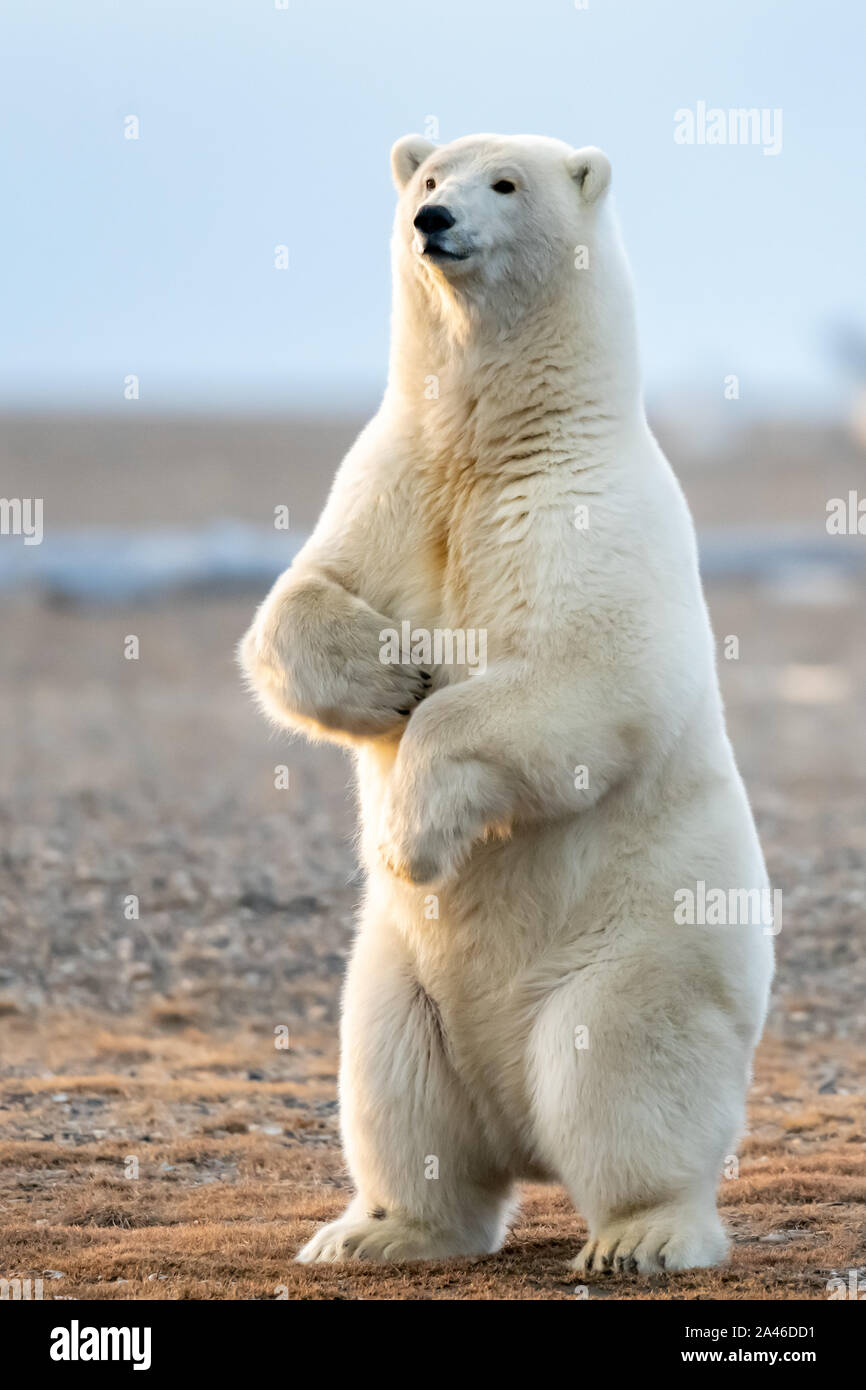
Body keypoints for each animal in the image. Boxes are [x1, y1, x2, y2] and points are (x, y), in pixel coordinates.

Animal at [239, 133, 775, 1273]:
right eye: (429, 175)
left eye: (506, 183)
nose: (431, 221)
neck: (491, 441)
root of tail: (516, 1125)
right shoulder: (391, 480)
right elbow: (295, 605)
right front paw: (395, 672)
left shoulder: (585, 511)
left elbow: (592, 672)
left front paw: (410, 835)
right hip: (395, 982)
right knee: (399, 1097)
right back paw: (374, 1230)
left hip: (637, 957)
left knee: (621, 1083)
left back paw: (640, 1234)